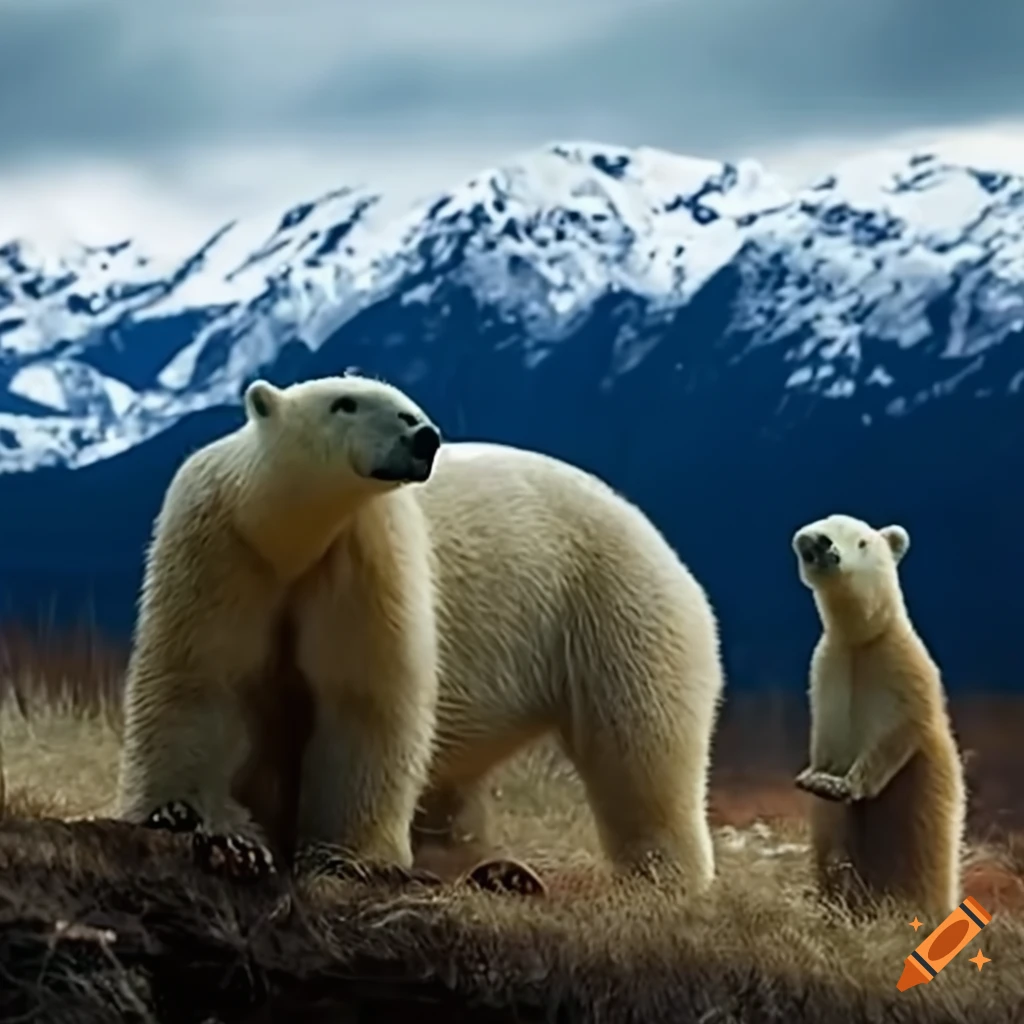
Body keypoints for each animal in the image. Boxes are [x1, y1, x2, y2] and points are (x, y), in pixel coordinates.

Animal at [115, 374, 443, 878]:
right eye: (345, 404)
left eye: (410, 409)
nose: (425, 437)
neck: (288, 537)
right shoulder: (216, 550)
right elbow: (198, 676)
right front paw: (178, 815)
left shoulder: (363, 558)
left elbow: (364, 696)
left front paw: (351, 852)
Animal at [791, 513, 966, 918]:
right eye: (813, 539)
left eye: (861, 541)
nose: (818, 542)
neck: (861, 639)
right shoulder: (830, 667)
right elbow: (828, 732)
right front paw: (816, 777)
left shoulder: (902, 666)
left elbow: (897, 730)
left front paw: (842, 784)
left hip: (924, 814)